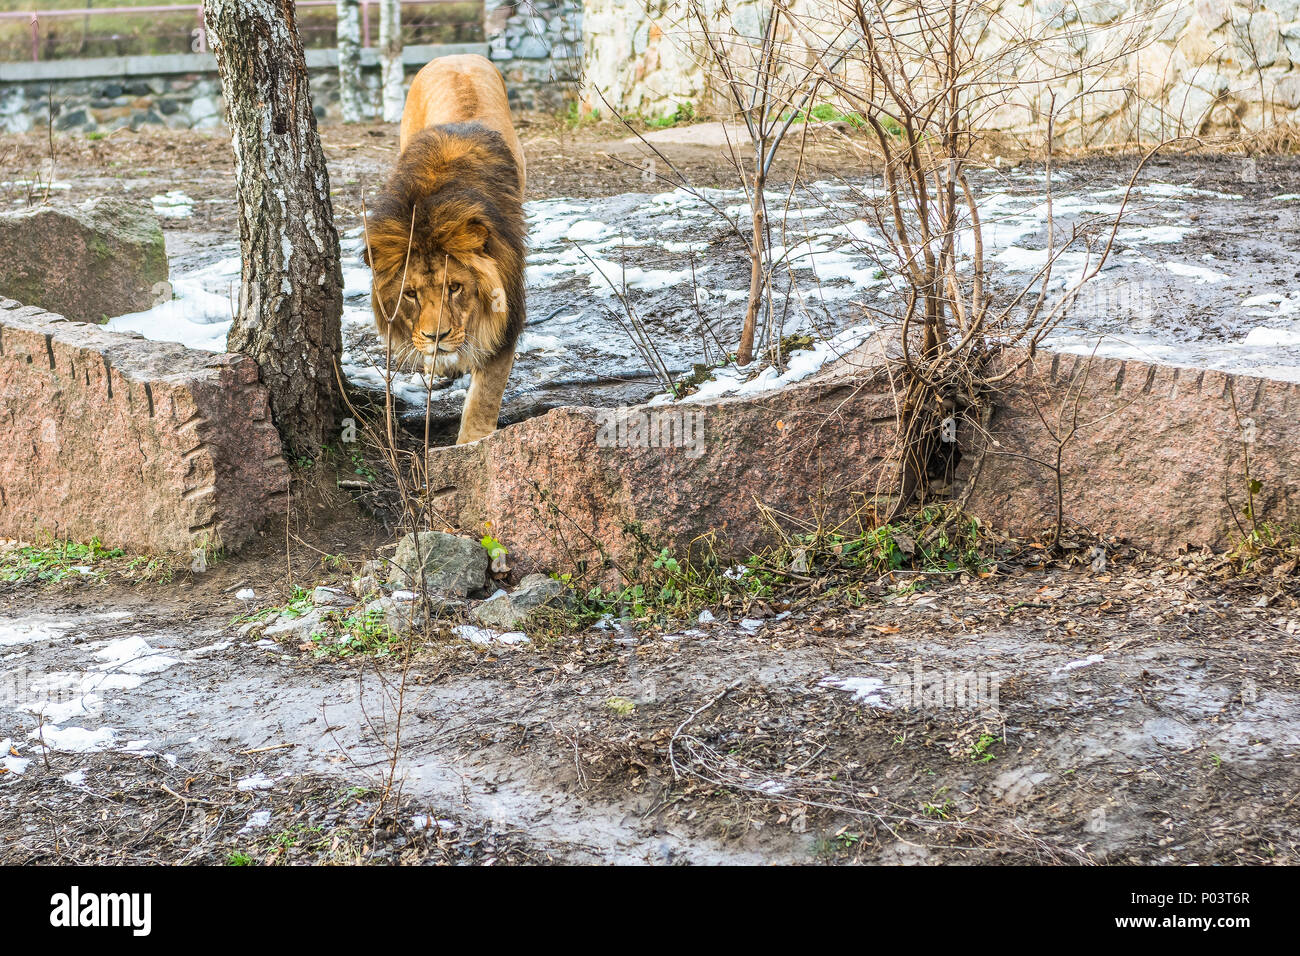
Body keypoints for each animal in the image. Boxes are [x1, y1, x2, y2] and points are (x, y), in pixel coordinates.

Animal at [363, 54, 527, 444]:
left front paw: (473, 447)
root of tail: (457, 54)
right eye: (409, 294)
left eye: (455, 287)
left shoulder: (506, 318)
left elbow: (484, 398)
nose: (435, 337)